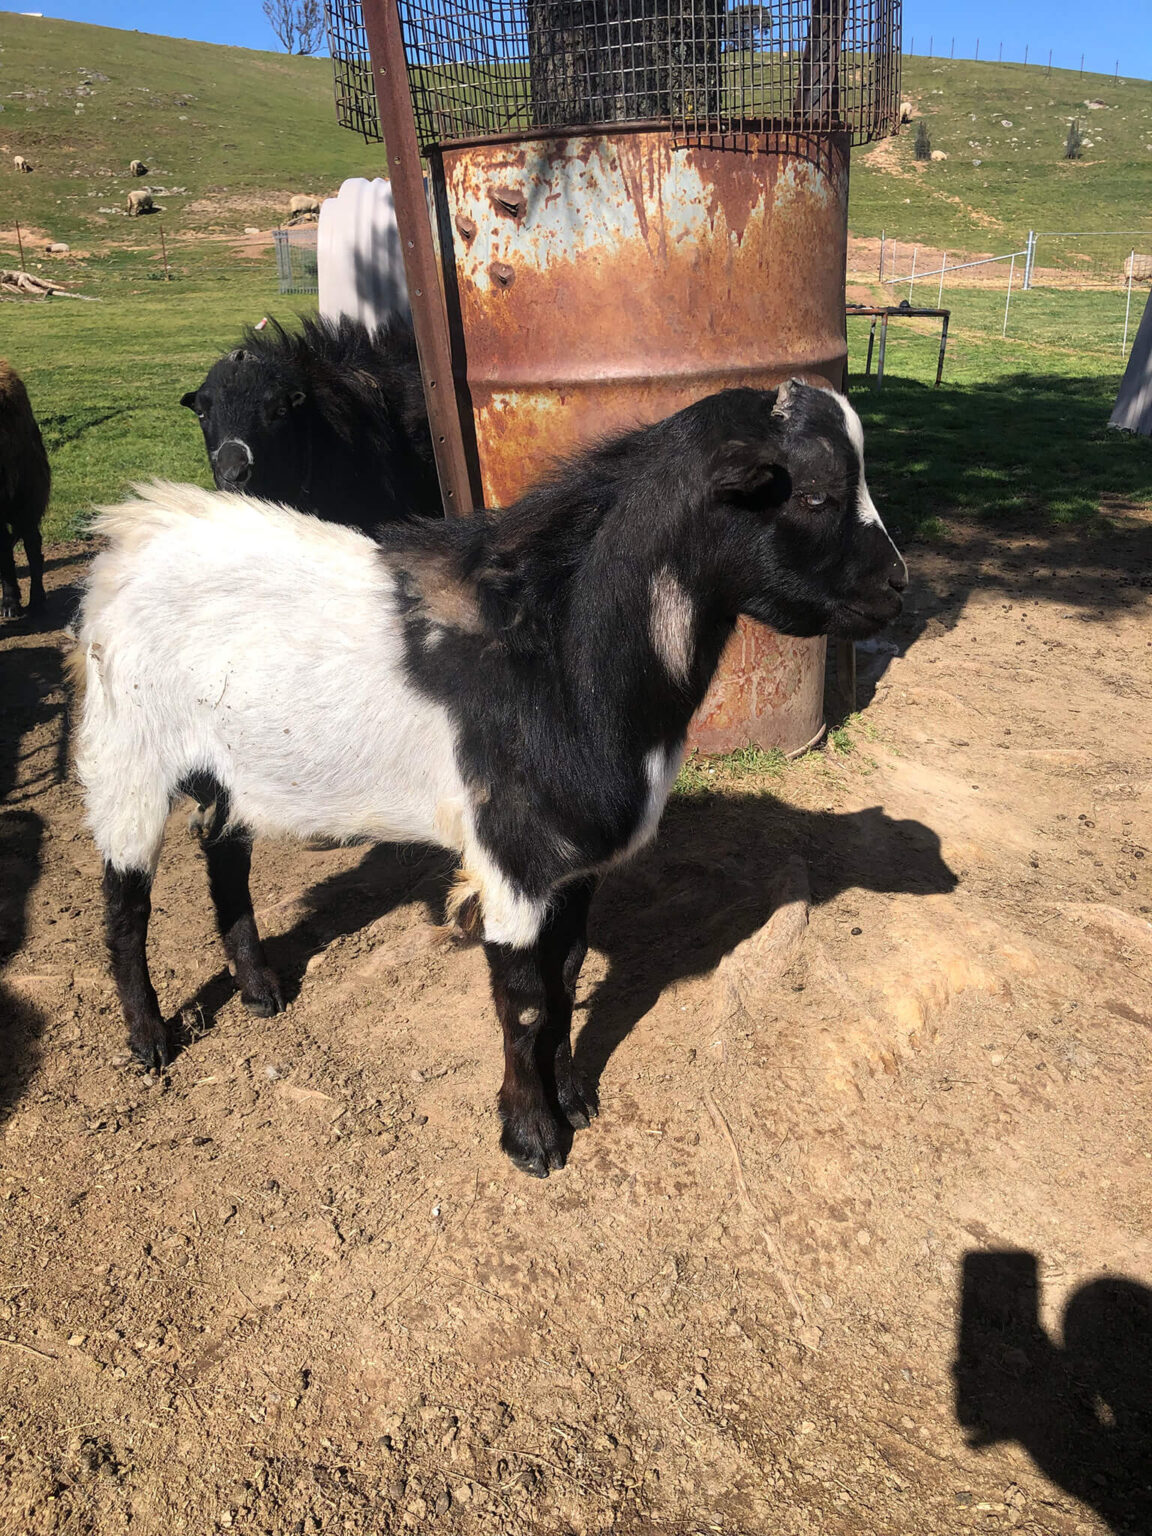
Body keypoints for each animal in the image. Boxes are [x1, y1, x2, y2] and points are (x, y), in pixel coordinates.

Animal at [74, 381, 907, 1177]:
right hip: (128, 753)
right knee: (126, 902)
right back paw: (149, 1037)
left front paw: (573, 1097)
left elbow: (567, 976)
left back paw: (259, 990)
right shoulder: (513, 857)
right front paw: (532, 1136)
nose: (898, 586)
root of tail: (136, 532)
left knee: (224, 854)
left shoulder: (575, 863)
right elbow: (525, 1003)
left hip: (225, 768)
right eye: (816, 495)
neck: (565, 656)